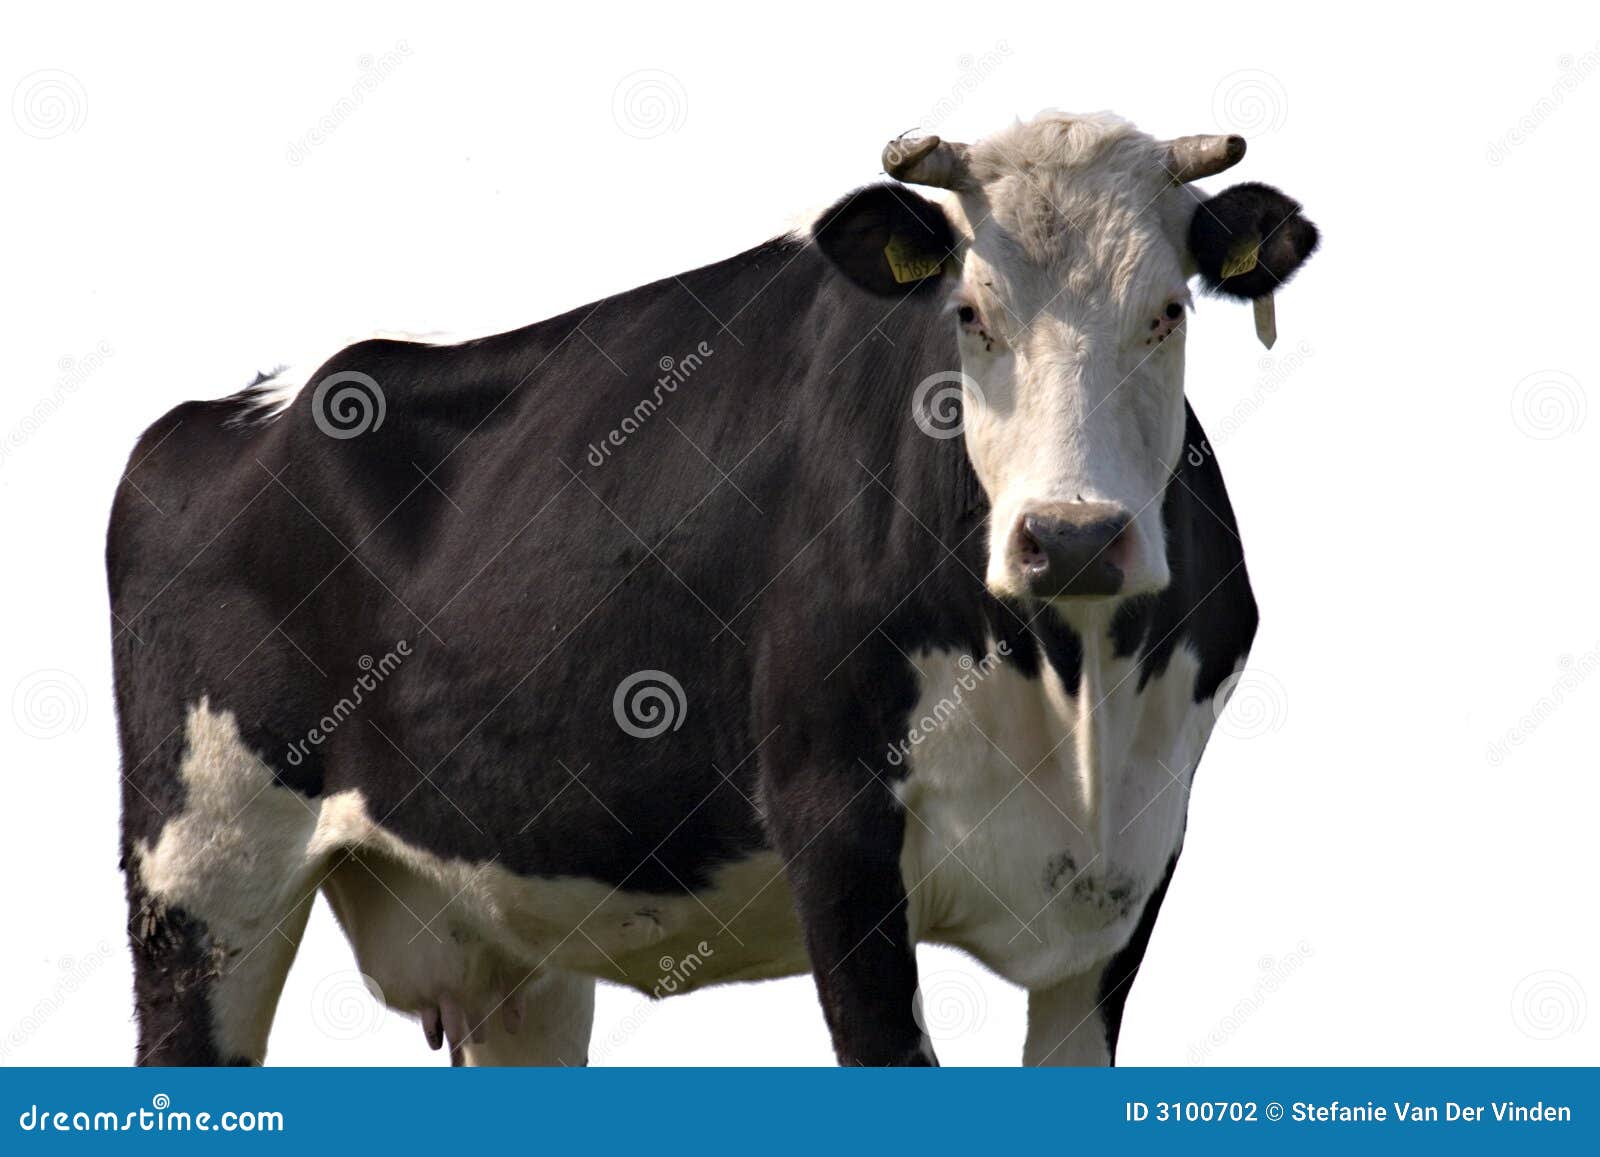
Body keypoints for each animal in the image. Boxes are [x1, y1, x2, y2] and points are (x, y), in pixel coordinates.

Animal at [108, 110, 1317, 1066]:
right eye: (971, 314)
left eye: (1168, 311)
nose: (1069, 537)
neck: (1073, 694)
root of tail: (214, 414)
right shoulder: (831, 821)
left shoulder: (1134, 866)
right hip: (200, 872)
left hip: (508, 932)